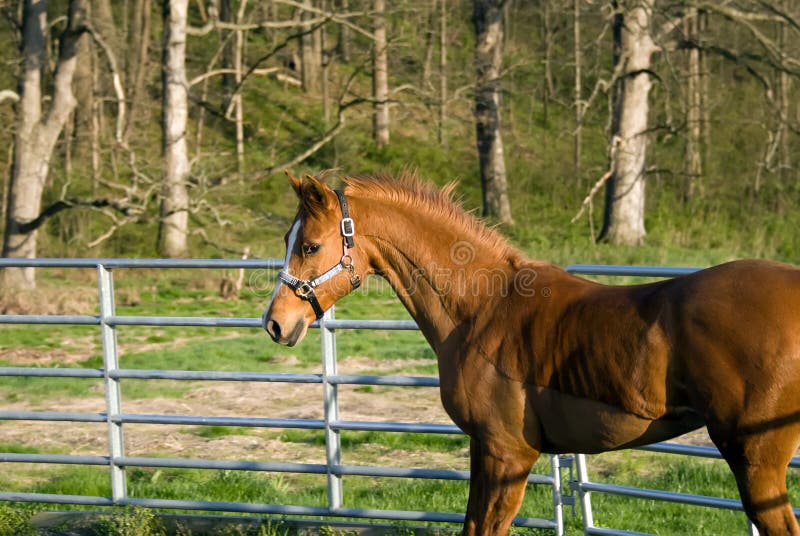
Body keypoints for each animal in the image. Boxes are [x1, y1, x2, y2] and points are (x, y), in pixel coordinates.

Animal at [262, 170, 800, 535]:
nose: (275, 323)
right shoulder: (484, 449)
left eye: (310, 246)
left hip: (755, 458)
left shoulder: (508, 453)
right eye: (289, 240)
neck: (482, 309)